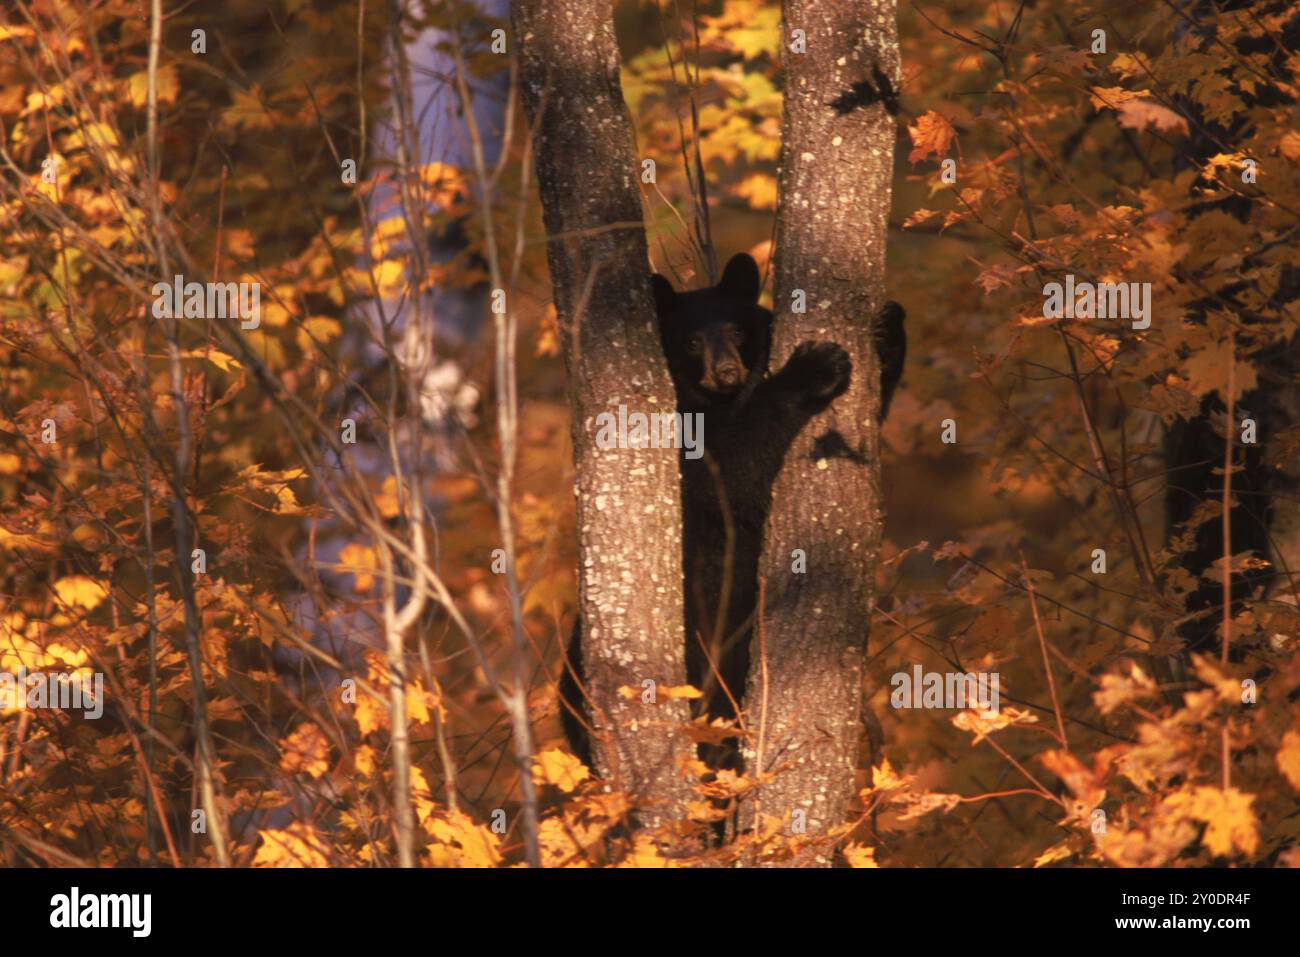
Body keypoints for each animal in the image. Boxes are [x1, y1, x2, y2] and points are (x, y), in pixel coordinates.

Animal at [560, 252, 906, 773]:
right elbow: (735, 466)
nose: (726, 371)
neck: (718, 402)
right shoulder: (679, 438)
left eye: (738, 330)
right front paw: (814, 367)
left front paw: (888, 326)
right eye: (690, 340)